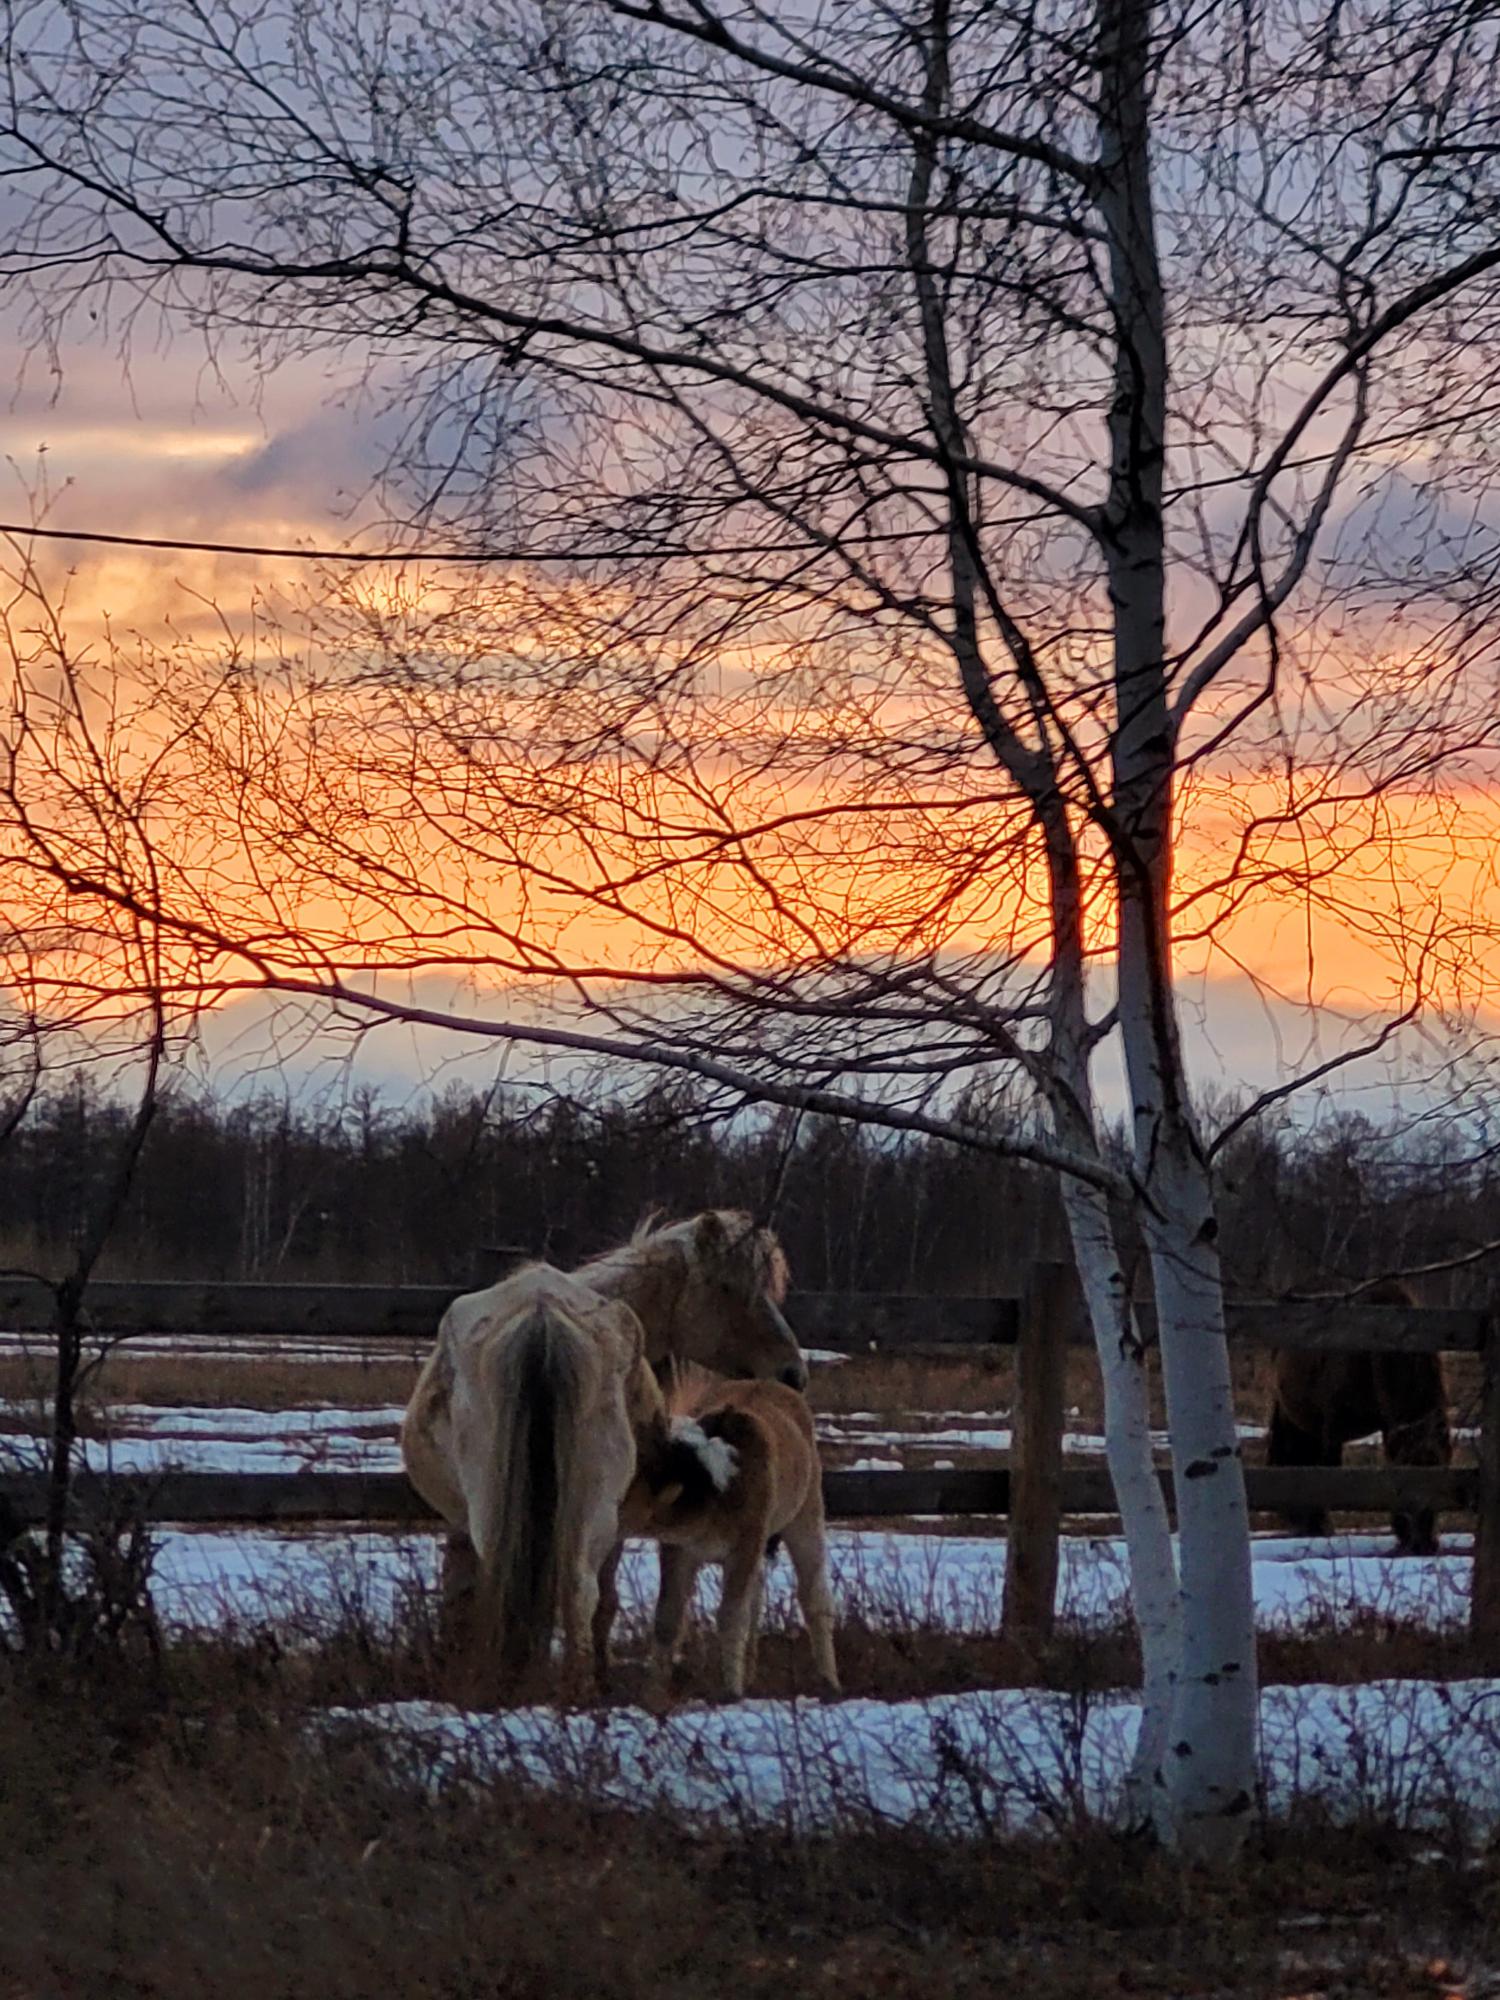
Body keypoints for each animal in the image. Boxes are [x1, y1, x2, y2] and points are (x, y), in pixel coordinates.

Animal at [612, 1360, 848, 1704]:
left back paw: (829, 1680)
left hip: (806, 1513)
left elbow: (730, 1616)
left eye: (629, 1496)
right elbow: (668, 1617)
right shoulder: (678, 1551)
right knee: (758, 1591)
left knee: (813, 1594)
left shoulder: (746, 1545)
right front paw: (653, 1691)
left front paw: (730, 1689)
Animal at [1272, 1280, 1456, 1560]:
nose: (1423, 1545)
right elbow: (1325, 1472)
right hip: (1293, 1416)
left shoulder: (1388, 1424)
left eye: (1441, 1482)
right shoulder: (1332, 1425)